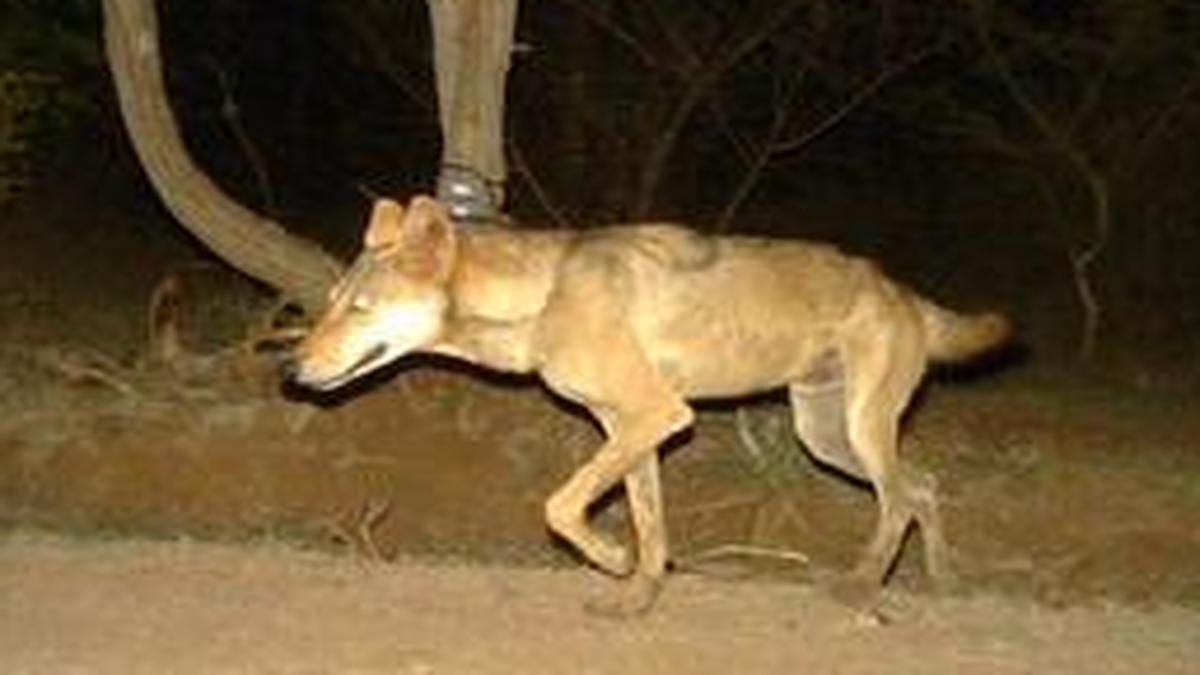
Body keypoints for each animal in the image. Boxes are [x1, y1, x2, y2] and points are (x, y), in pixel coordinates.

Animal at [286, 195, 1010, 615]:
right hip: (826, 435)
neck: (545, 295)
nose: (289, 370)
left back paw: (861, 587)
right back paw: (943, 579)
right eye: (330, 303)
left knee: (899, 500)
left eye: (360, 308)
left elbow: (560, 506)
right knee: (923, 485)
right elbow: (648, 523)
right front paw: (639, 595)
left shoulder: (655, 416)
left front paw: (611, 560)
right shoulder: (630, 429)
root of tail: (906, 293)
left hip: (856, 431)